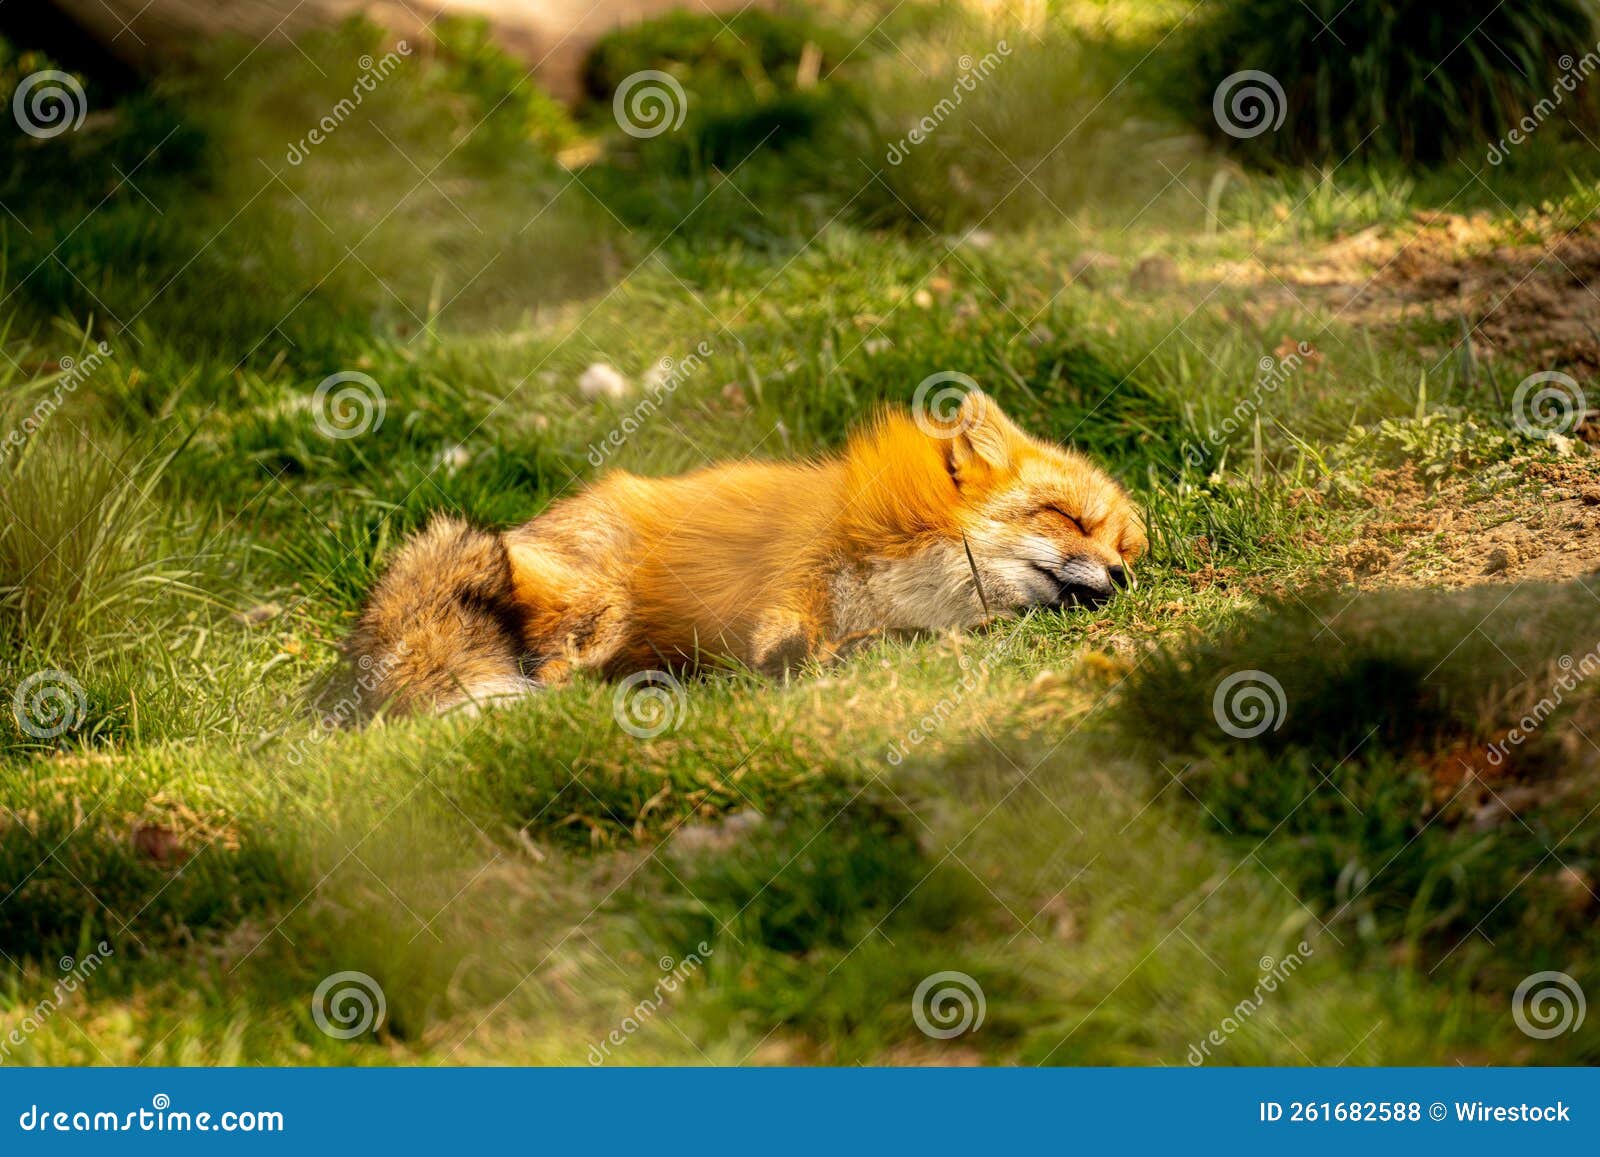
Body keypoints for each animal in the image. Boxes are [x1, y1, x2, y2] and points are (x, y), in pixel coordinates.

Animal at [344, 391, 1145, 716]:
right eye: (1067, 517)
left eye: (1125, 548)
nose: (1119, 575)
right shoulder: (807, 551)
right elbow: (789, 609)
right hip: (599, 605)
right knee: (553, 671)